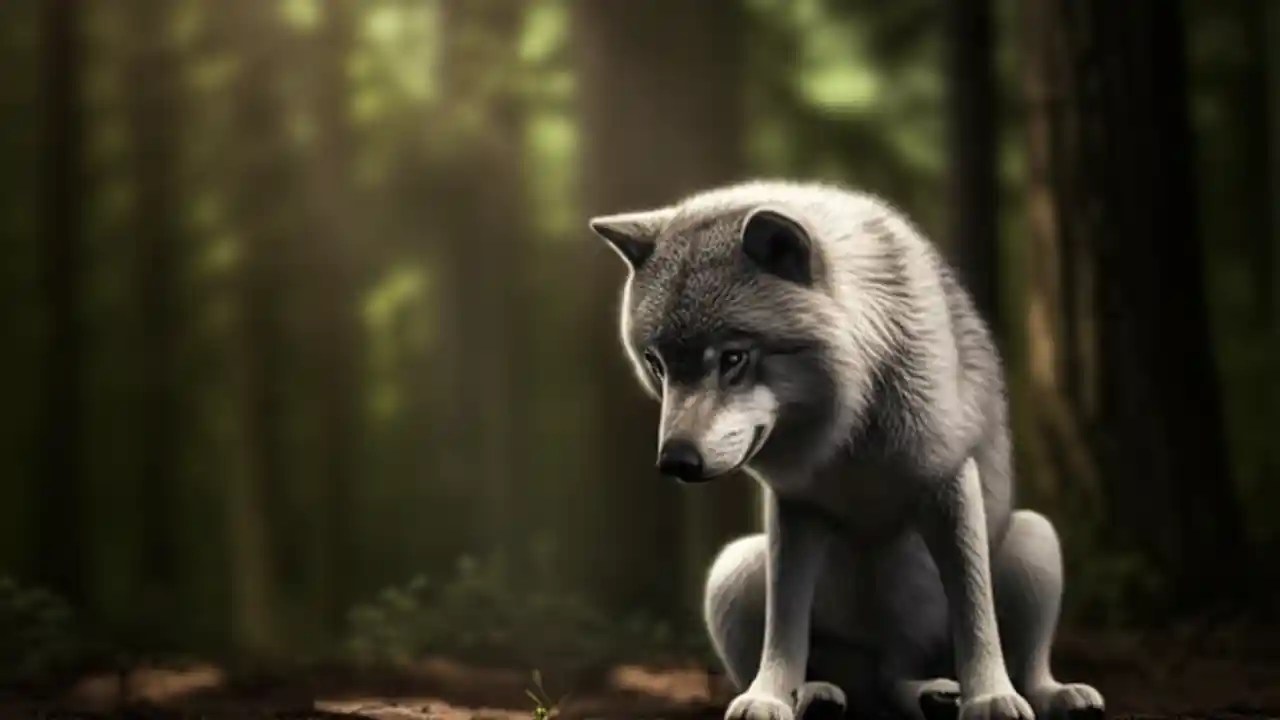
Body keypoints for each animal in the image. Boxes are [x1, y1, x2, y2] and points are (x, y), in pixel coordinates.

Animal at [588, 181, 1105, 720]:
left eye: (733, 358)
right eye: (657, 364)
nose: (676, 461)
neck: (850, 430)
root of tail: (893, 655)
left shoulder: (950, 483)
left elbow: (975, 609)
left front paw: (991, 698)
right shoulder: (794, 507)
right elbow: (785, 624)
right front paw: (767, 697)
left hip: (1036, 541)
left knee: (1017, 666)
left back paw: (1044, 694)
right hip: (731, 569)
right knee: (870, 683)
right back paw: (825, 695)